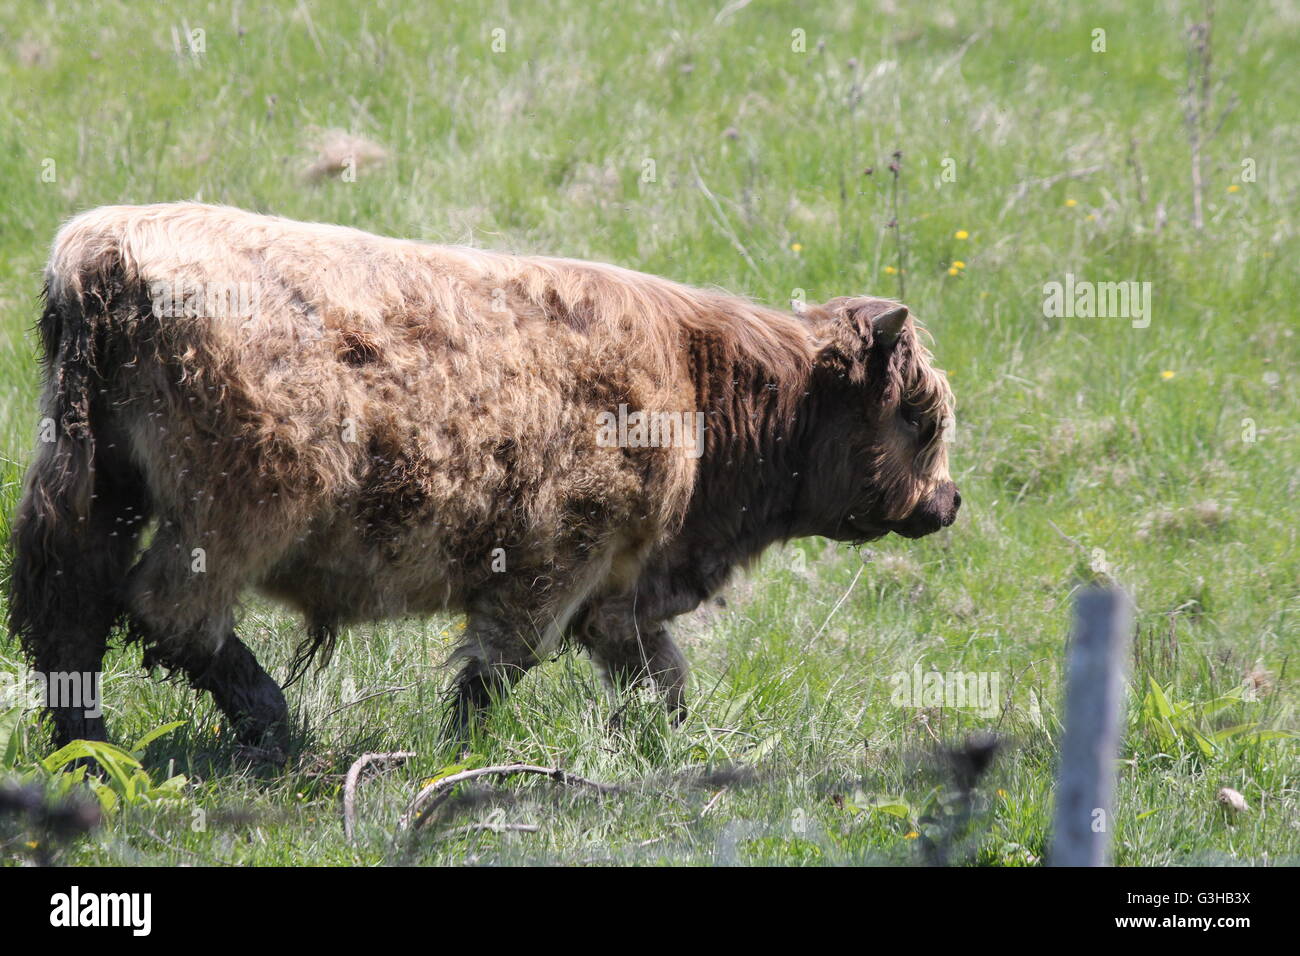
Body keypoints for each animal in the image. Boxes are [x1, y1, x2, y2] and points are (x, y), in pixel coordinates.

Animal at [7, 203, 959, 757]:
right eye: (921, 416)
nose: (949, 503)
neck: (699, 383)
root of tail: (104, 245)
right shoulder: (556, 560)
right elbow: (497, 670)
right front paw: (460, 759)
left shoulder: (617, 586)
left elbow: (659, 673)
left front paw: (671, 751)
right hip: (231, 517)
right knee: (166, 613)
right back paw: (278, 732)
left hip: (96, 493)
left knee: (68, 618)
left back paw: (88, 752)